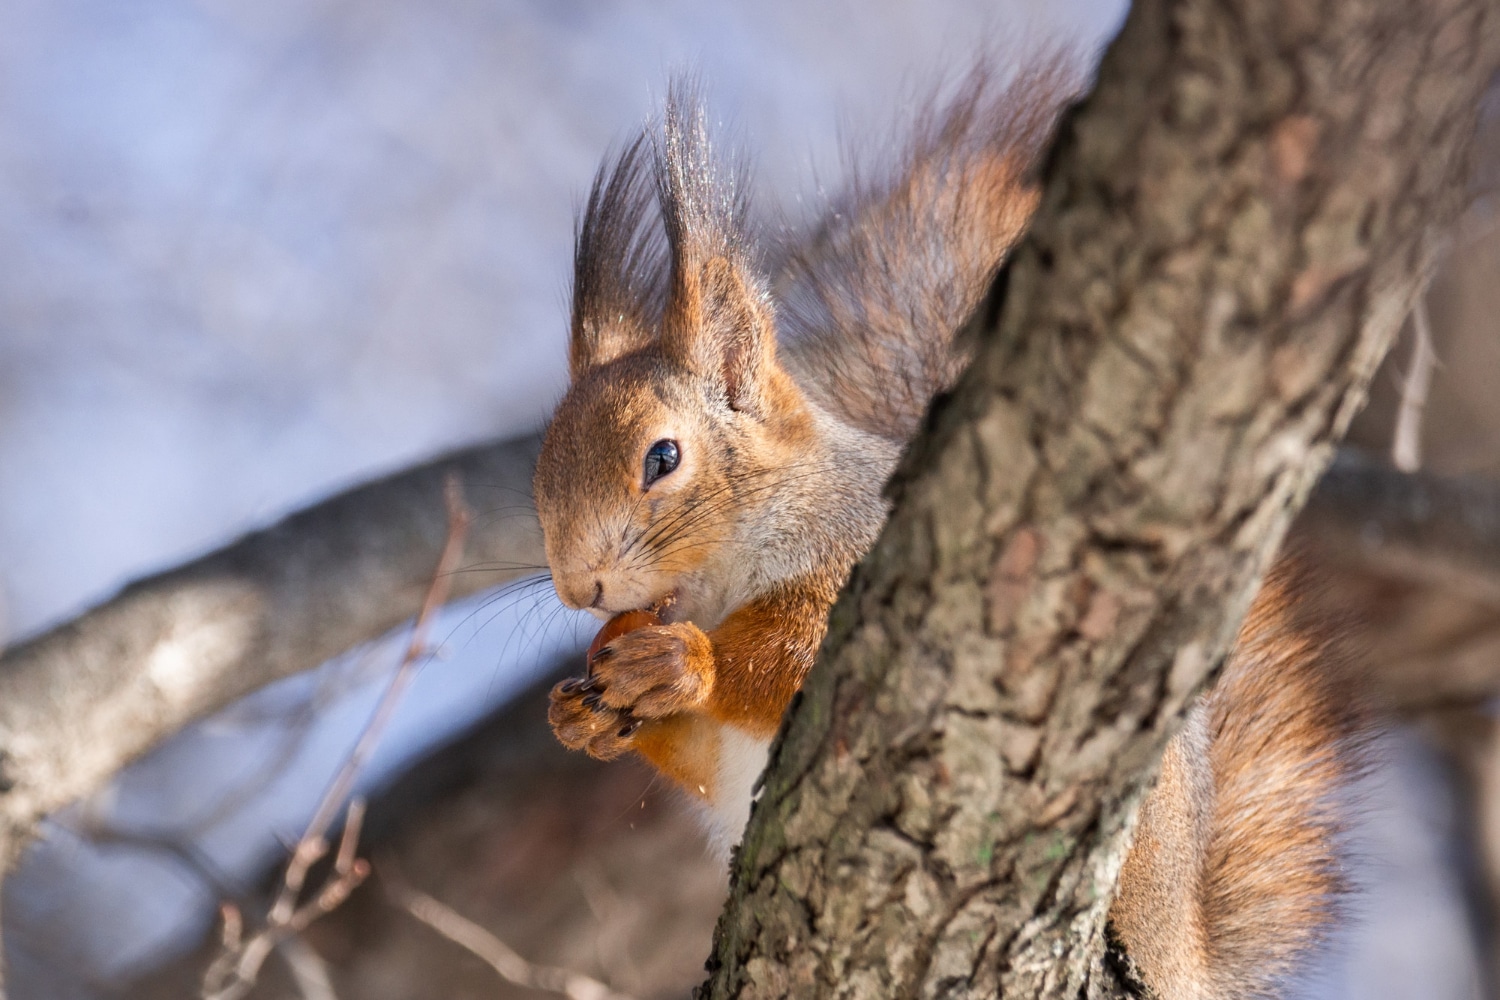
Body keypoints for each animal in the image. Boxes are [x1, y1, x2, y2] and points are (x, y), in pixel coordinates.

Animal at [532, 62, 1367, 1000]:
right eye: (541, 469)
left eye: (664, 457)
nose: (580, 586)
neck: (725, 574)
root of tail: (1182, 947)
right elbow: (704, 752)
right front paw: (583, 713)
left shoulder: (858, 552)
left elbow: (796, 654)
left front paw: (683, 663)